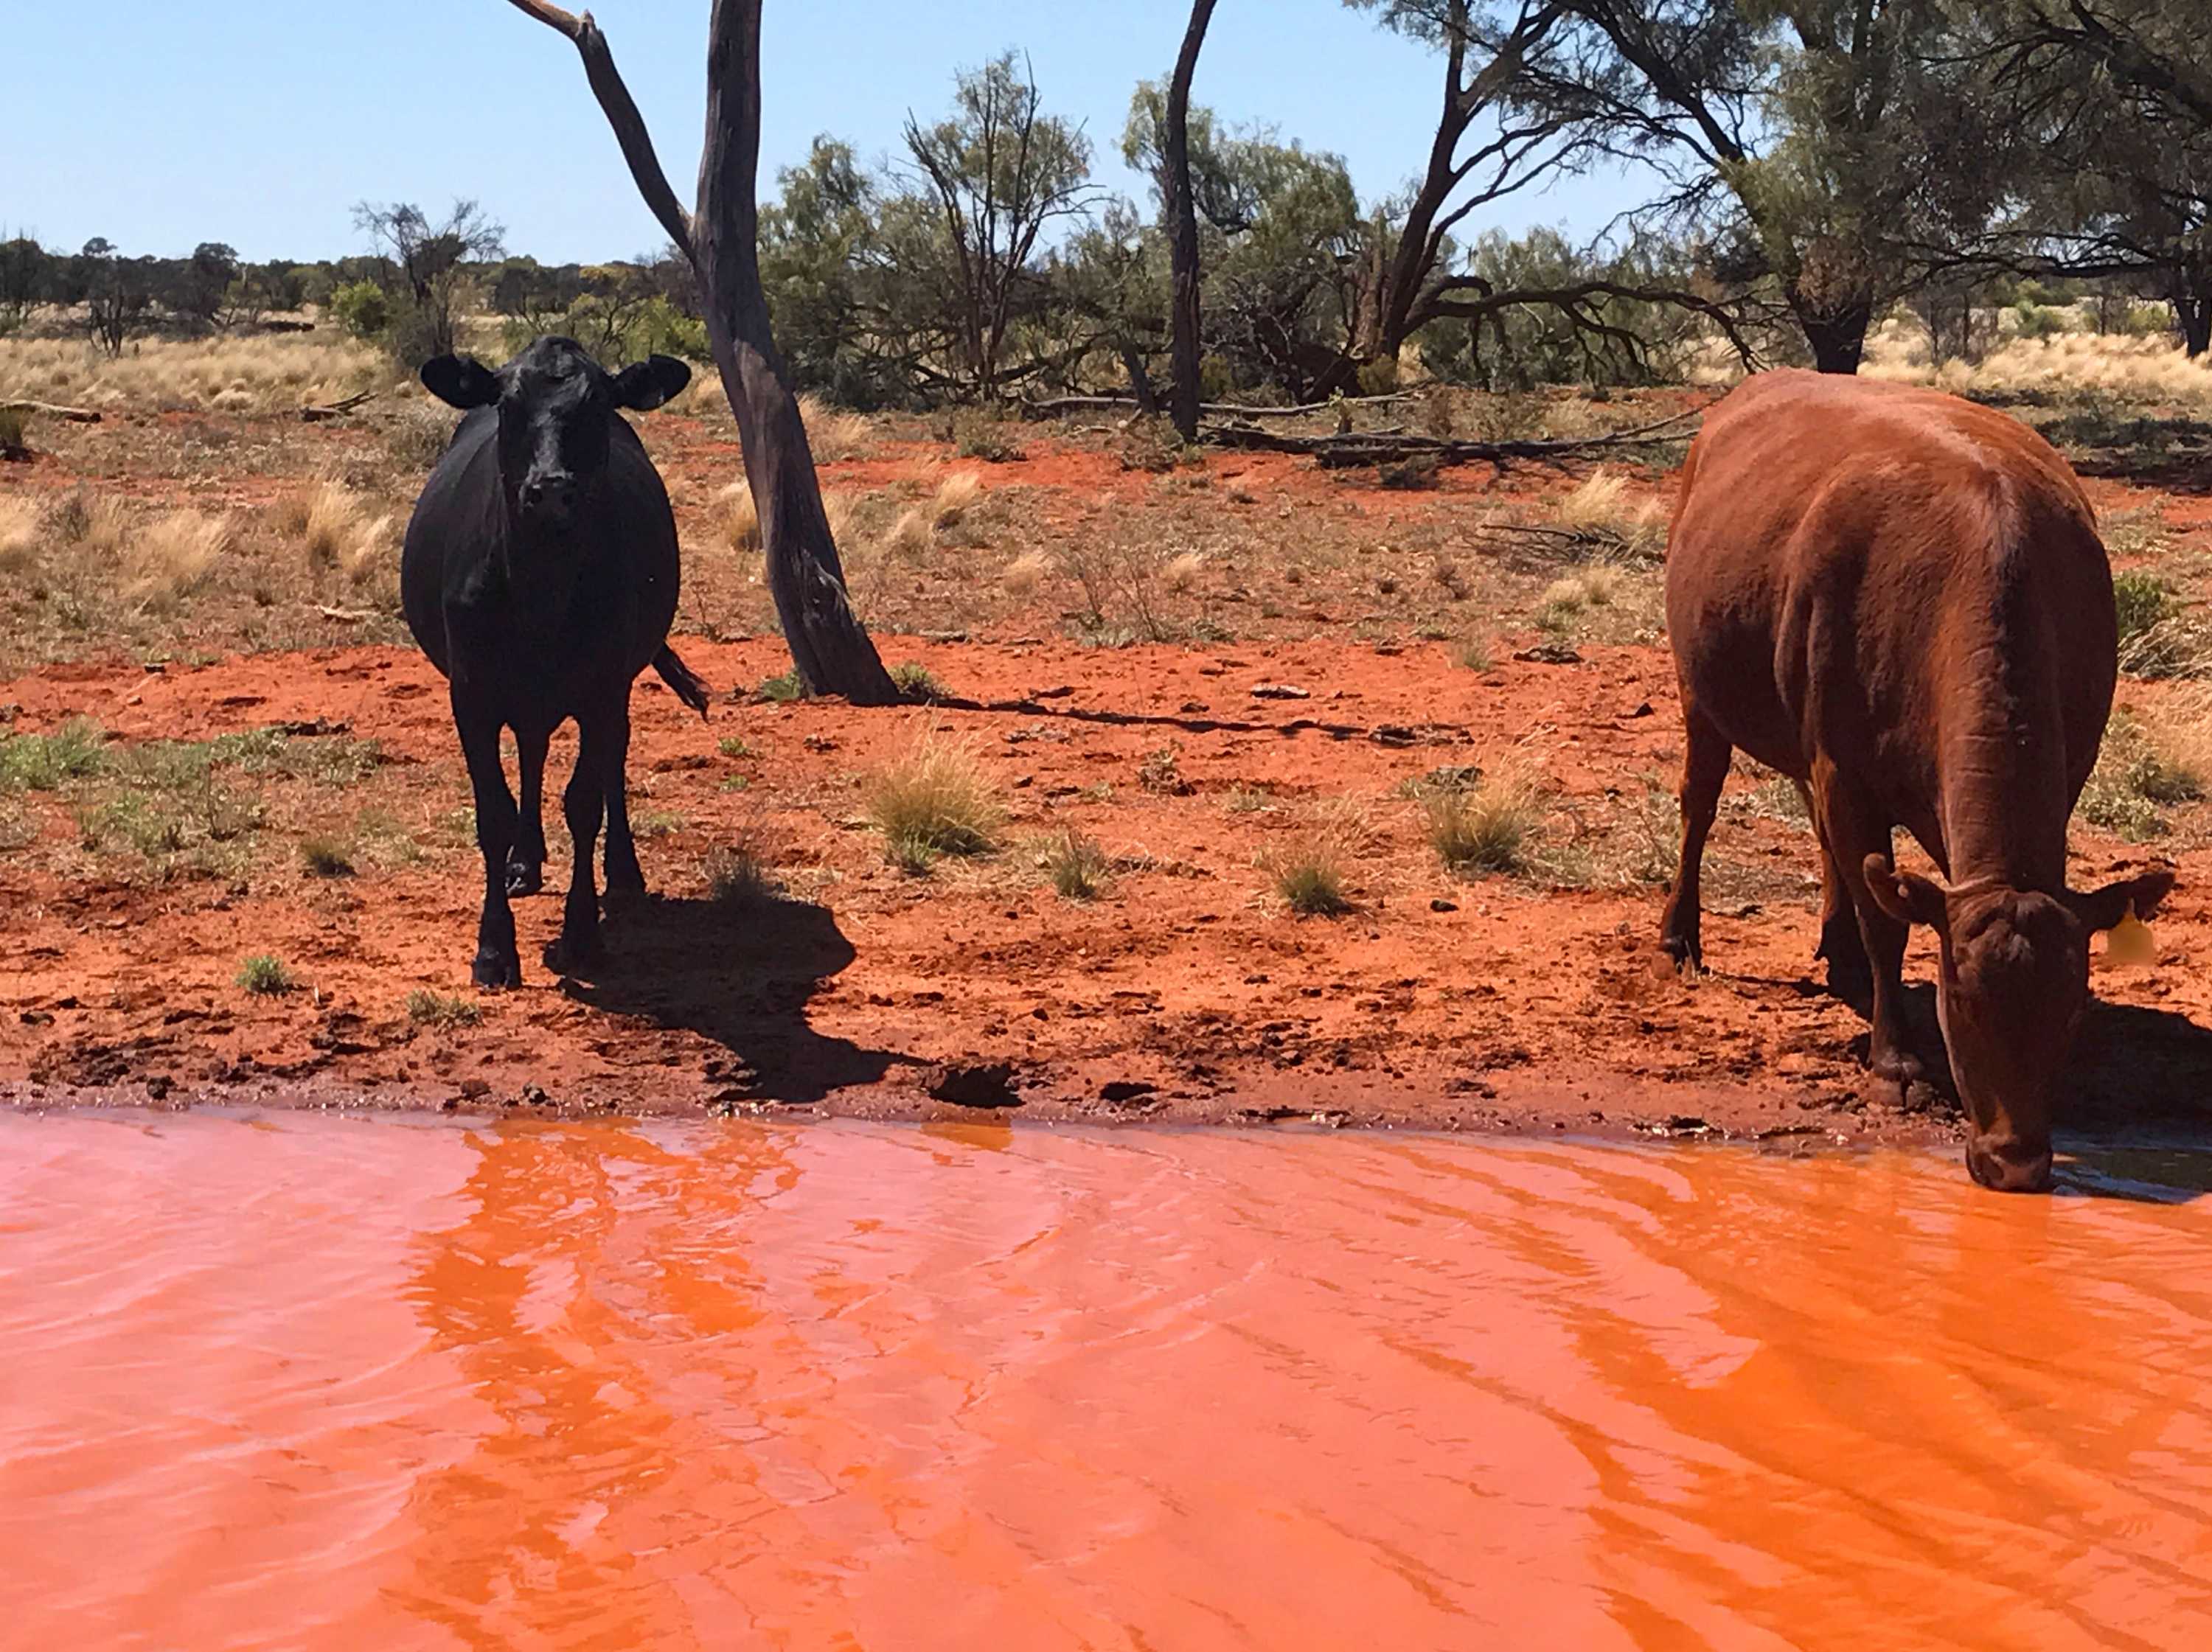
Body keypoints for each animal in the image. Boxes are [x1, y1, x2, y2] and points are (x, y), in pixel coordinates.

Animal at [402, 335, 711, 989]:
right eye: (508, 405)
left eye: (596, 407)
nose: (550, 490)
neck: (540, 592)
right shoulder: (471, 694)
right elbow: (492, 812)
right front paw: (494, 948)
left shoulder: (602, 691)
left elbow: (584, 802)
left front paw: (584, 934)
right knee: (532, 750)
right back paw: (525, 860)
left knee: (609, 763)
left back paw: (623, 872)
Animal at [1659, 369, 2171, 1192]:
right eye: (1956, 1004)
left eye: (2072, 1008)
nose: (2015, 1163)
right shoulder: (1844, 768)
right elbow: (1887, 921)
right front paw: (1895, 1065)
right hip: (1699, 691)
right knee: (1699, 806)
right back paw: (1679, 936)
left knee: (1823, 840)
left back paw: (1833, 945)